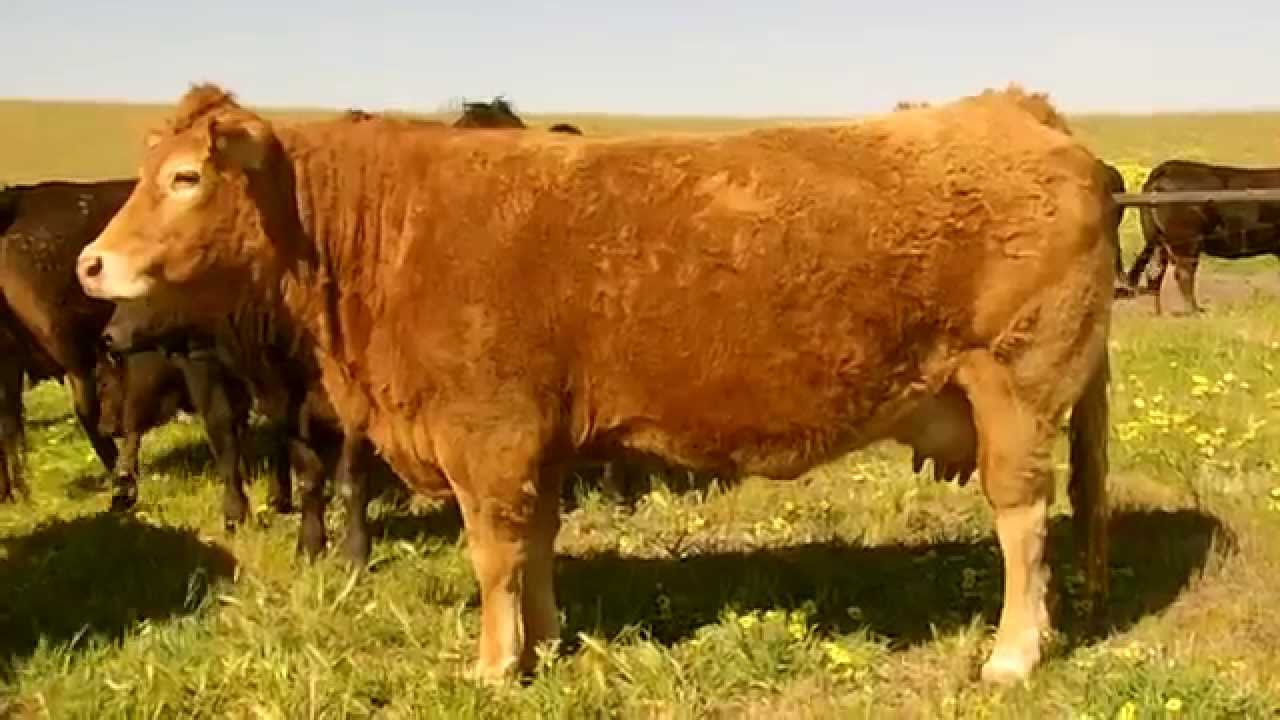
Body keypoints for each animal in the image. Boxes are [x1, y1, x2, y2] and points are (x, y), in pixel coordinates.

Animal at [76, 83, 1114, 686]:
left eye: (184, 178)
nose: (91, 265)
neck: (384, 231)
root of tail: (1014, 109)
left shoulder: (487, 434)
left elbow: (493, 553)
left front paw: (494, 667)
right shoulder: (533, 439)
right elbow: (534, 547)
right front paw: (544, 640)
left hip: (1017, 389)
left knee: (1022, 522)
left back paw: (1013, 655)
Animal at [1125, 159, 1280, 314]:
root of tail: (1167, 167)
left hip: (1160, 242)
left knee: (1155, 272)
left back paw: (1159, 313)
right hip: (1186, 242)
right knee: (1183, 274)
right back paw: (1194, 311)